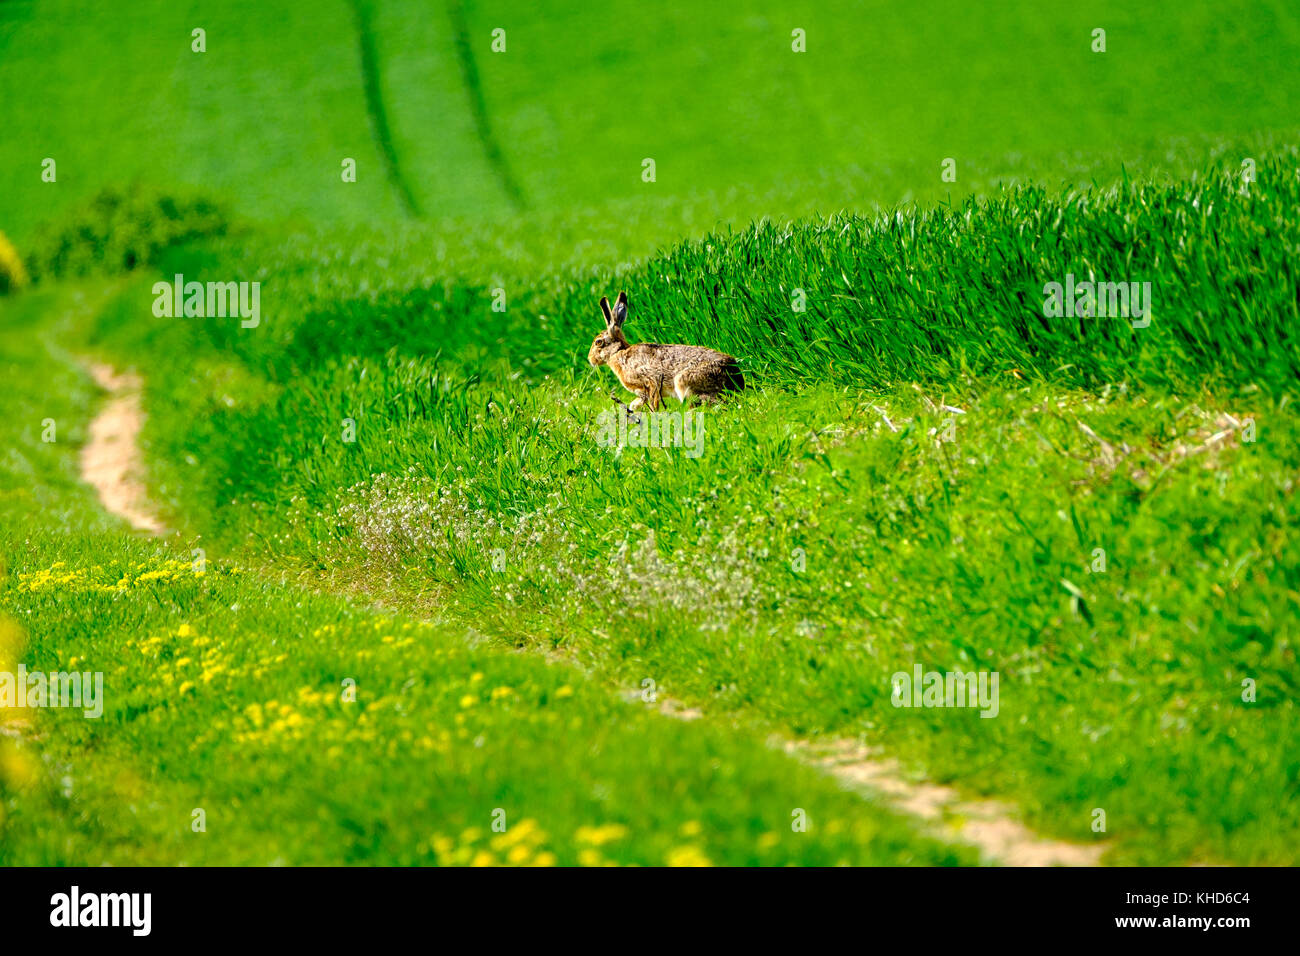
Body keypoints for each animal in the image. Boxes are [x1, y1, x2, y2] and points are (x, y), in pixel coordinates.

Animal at [587, 291, 744, 412]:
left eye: (598, 342)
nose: (590, 359)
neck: (618, 352)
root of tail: (734, 376)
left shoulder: (650, 381)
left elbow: (652, 401)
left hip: (683, 381)